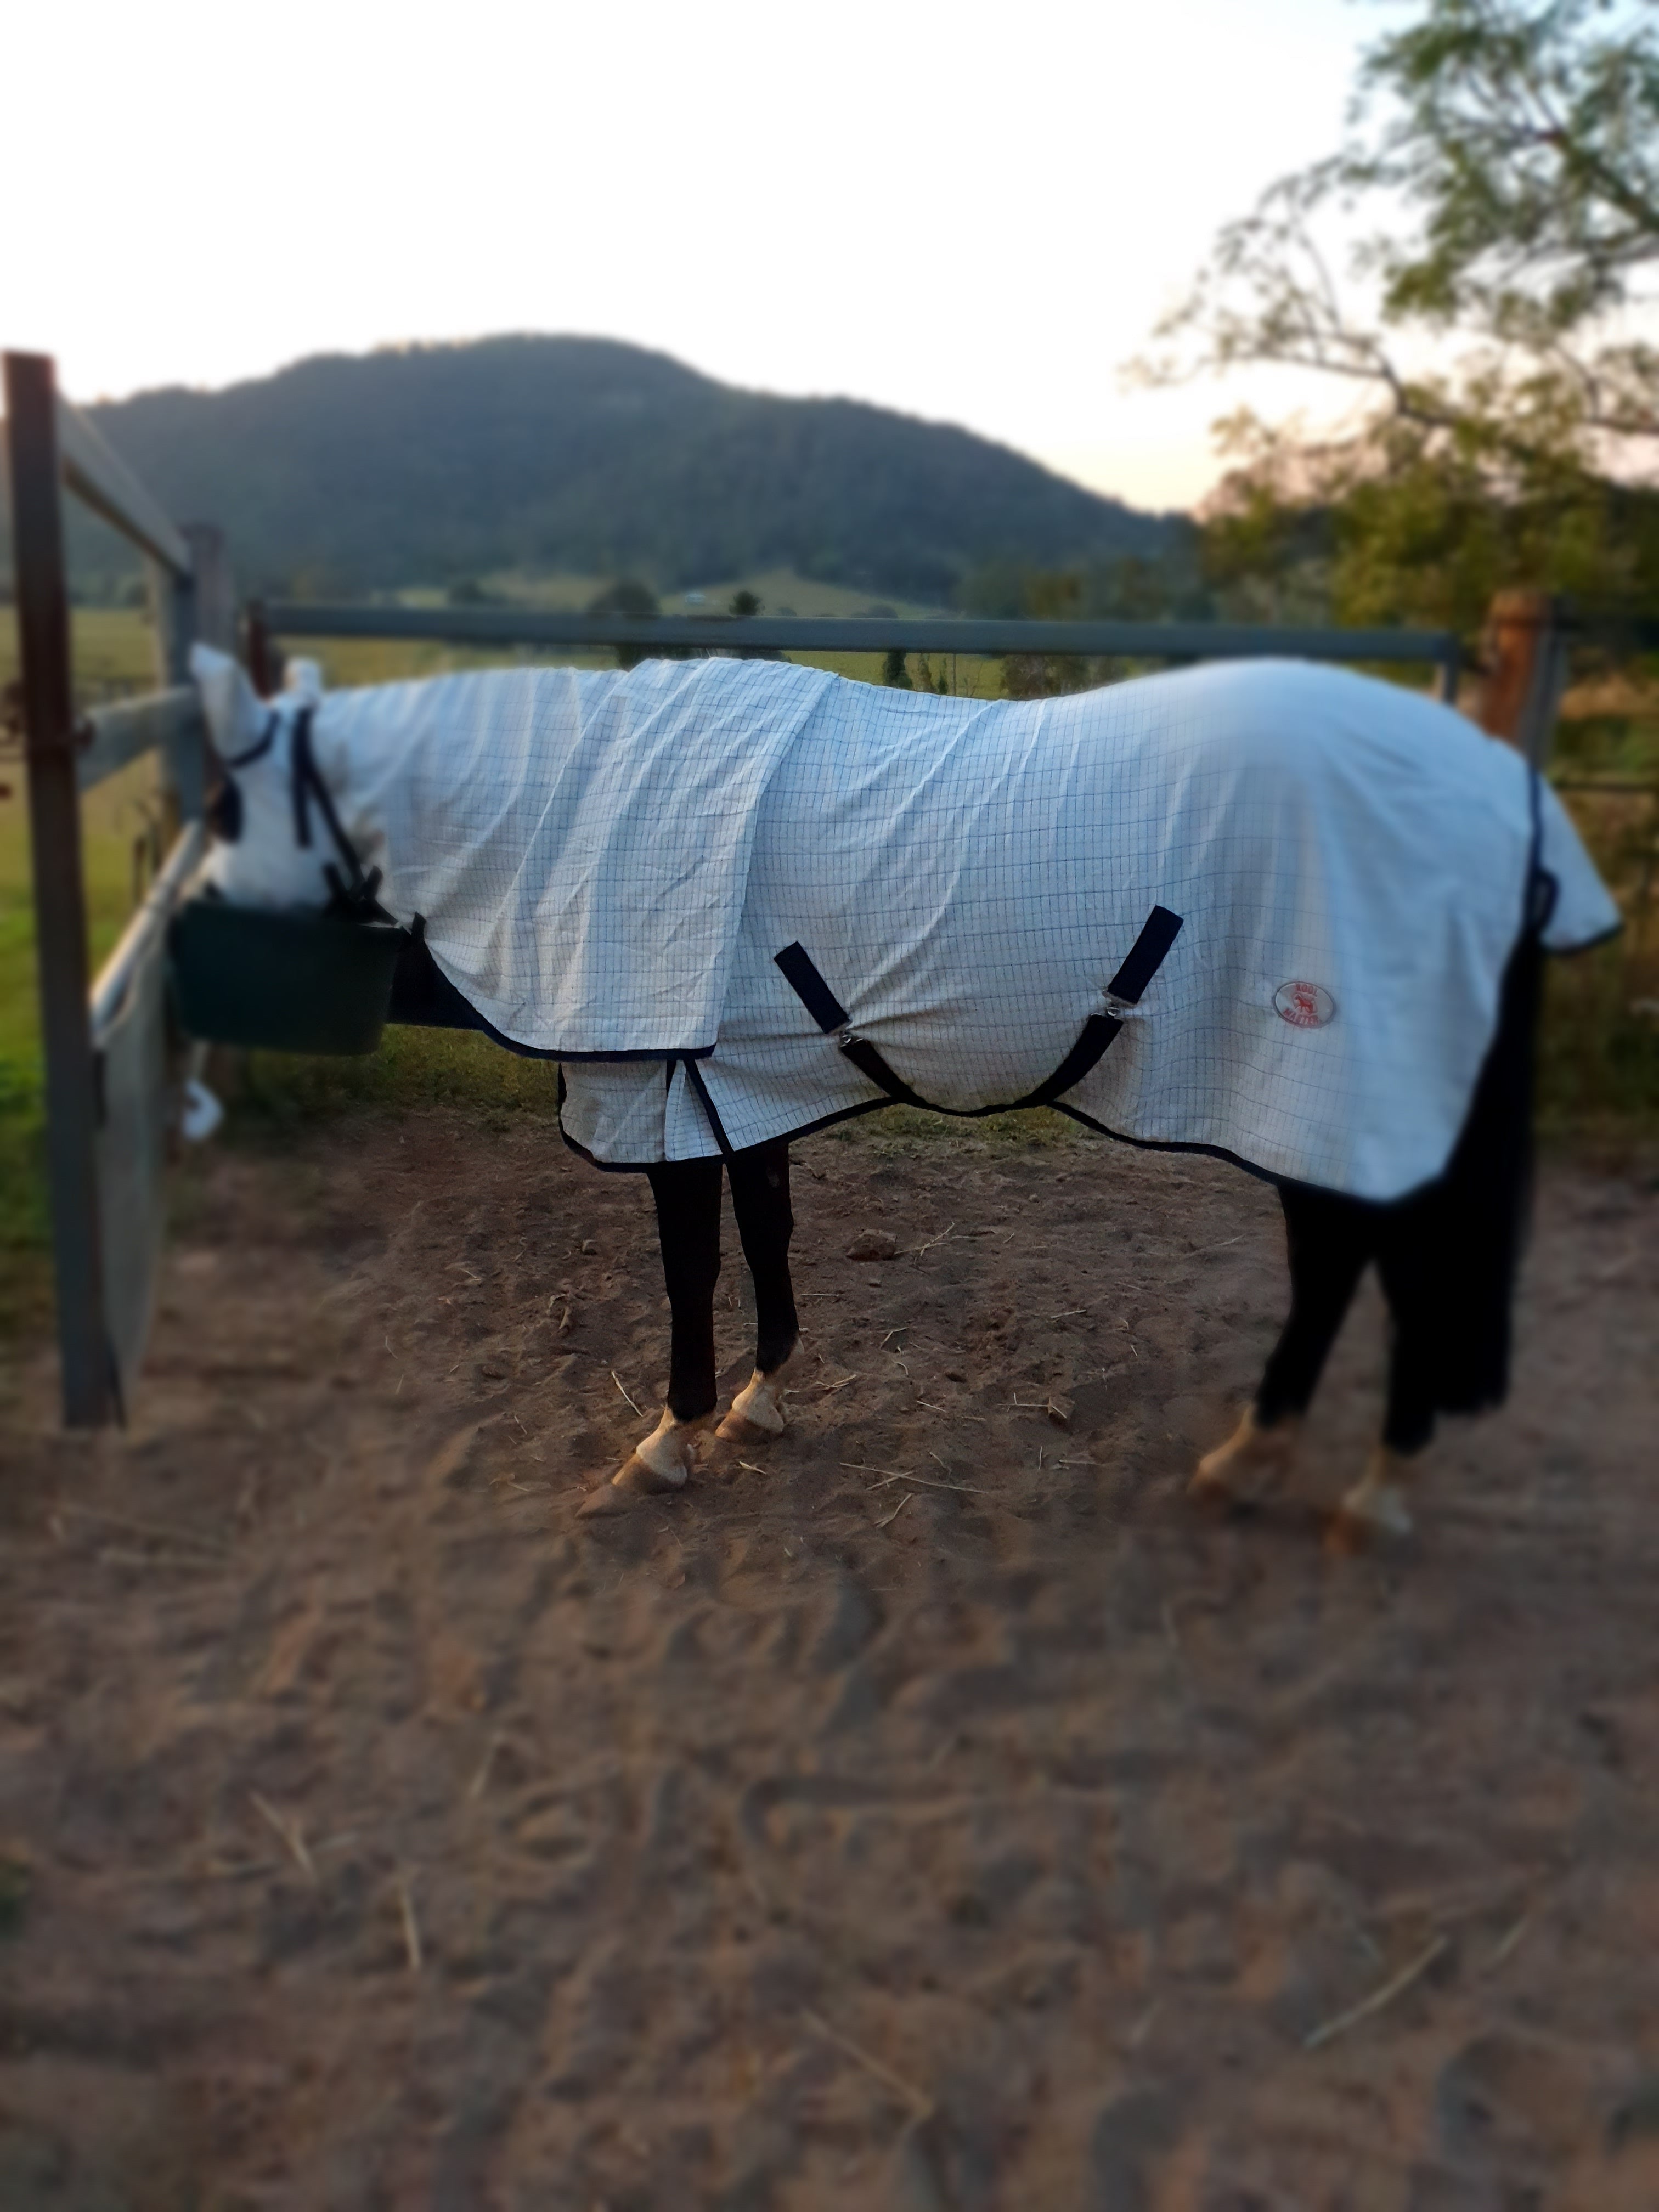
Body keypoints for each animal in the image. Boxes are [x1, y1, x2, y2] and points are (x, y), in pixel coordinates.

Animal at [186, 643, 1616, 1536]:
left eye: (226, 801)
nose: (191, 936)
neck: (573, 810)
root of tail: (1505, 795)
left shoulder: (659, 1088)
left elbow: (690, 1271)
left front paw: (670, 1442)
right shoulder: (740, 1081)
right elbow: (766, 1234)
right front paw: (764, 1402)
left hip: (1332, 1098)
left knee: (1375, 1268)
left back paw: (1358, 1486)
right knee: (1339, 1272)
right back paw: (1257, 1463)